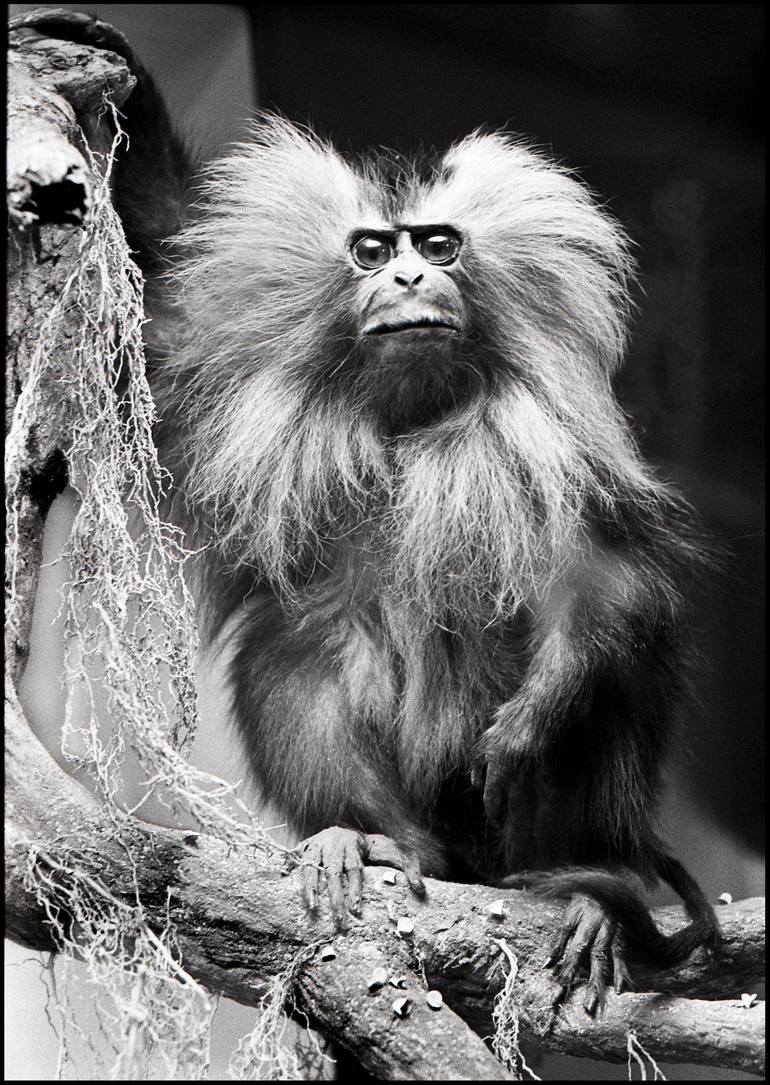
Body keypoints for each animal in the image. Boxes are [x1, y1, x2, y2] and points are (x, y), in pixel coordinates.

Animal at [25, 10, 720, 1013]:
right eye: (369, 251)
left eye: (437, 246)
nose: (407, 282)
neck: (408, 418)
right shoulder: (212, 387)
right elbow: (158, 318)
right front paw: (124, 101)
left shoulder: (568, 440)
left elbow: (608, 583)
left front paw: (535, 715)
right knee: (303, 644)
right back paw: (372, 838)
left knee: (612, 677)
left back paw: (589, 890)